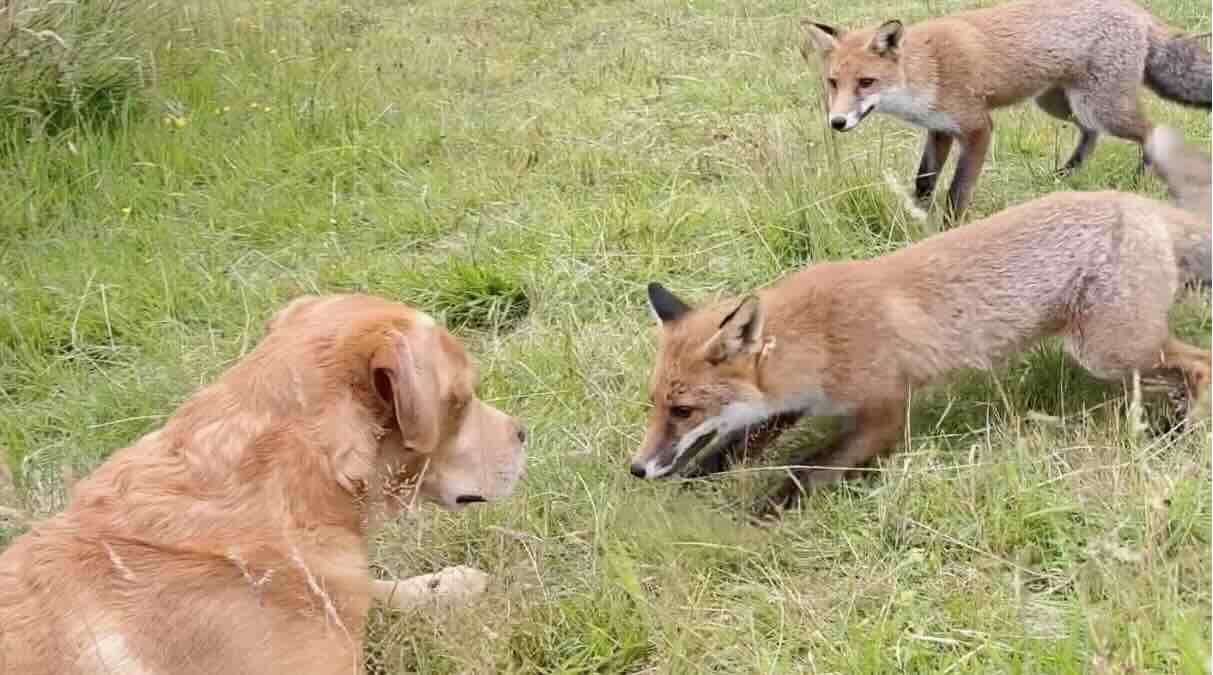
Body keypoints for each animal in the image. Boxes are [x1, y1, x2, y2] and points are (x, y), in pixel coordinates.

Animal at [629, 128, 1212, 512]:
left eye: (682, 410)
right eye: (654, 404)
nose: (637, 469)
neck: (820, 336)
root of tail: (1143, 205)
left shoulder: (886, 412)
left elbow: (805, 471)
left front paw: (755, 518)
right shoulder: (793, 402)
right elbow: (730, 447)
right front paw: (689, 487)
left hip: (1108, 350)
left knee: (1200, 364)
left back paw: (1188, 430)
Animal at [803, 0, 1212, 220]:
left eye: (866, 82)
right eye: (833, 83)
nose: (836, 122)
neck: (927, 69)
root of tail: (1136, 10)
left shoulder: (977, 127)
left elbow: (958, 190)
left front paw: (949, 227)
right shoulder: (939, 130)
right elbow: (924, 181)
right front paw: (916, 216)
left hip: (1102, 107)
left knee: (1150, 130)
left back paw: (1142, 177)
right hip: (1060, 104)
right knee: (1090, 133)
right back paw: (1066, 174)